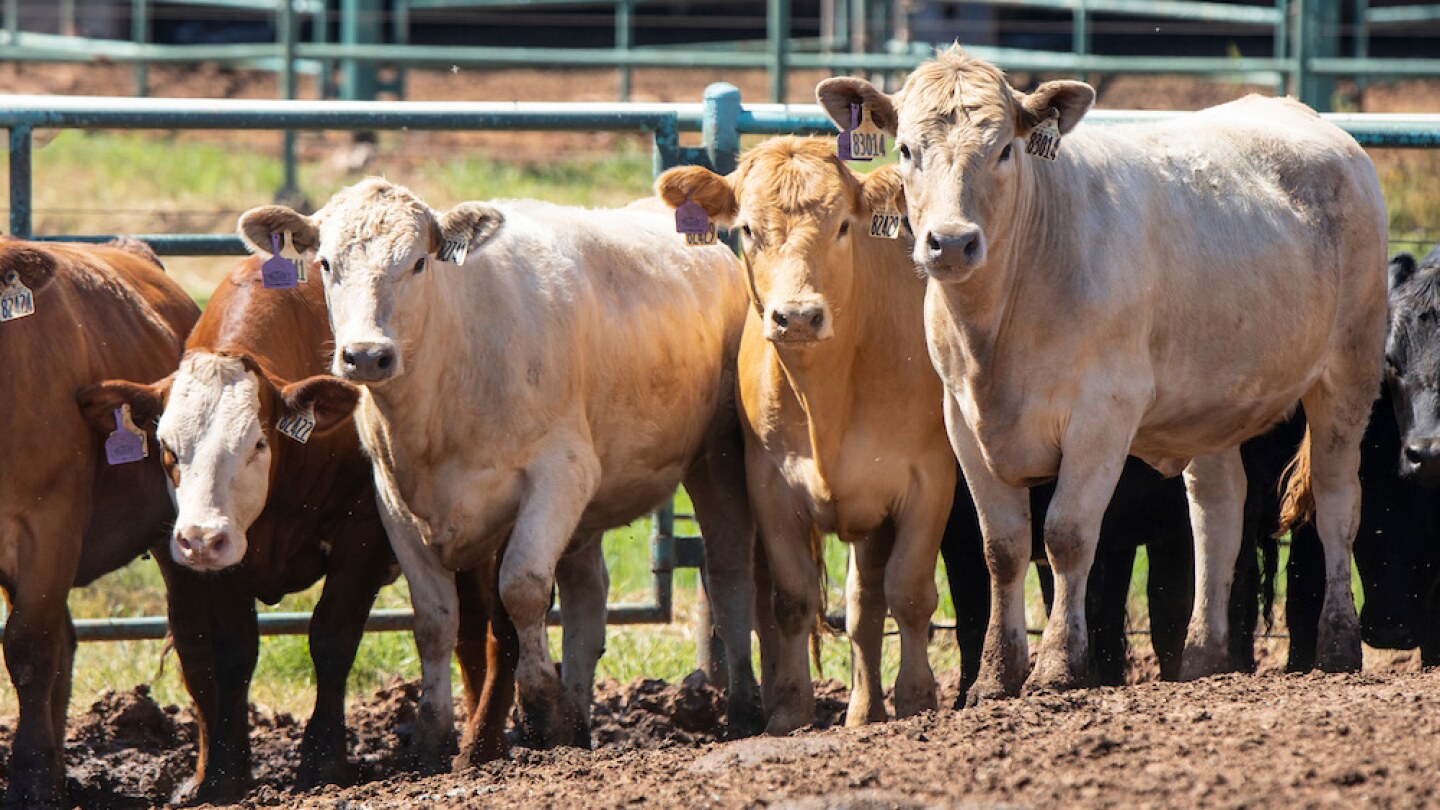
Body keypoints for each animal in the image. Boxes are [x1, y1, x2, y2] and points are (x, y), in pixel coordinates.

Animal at [234, 179, 763, 766]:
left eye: (418, 262)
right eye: (325, 263)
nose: (367, 356)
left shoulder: (559, 474)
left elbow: (522, 591)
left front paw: (541, 714)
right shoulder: (392, 500)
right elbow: (435, 619)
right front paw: (433, 737)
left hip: (717, 456)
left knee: (729, 569)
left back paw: (743, 710)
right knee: (587, 596)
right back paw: (580, 723)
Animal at [817, 46, 1387, 701]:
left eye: (1004, 150)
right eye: (907, 149)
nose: (952, 243)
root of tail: (1313, 121)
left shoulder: (1102, 415)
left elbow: (1066, 535)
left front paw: (1059, 666)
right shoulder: (961, 417)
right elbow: (1002, 548)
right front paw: (994, 678)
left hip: (1349, 371)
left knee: (1339, 501)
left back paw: (1338, 646)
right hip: (1210, 402)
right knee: (1217, 511)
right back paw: (1202, 657)